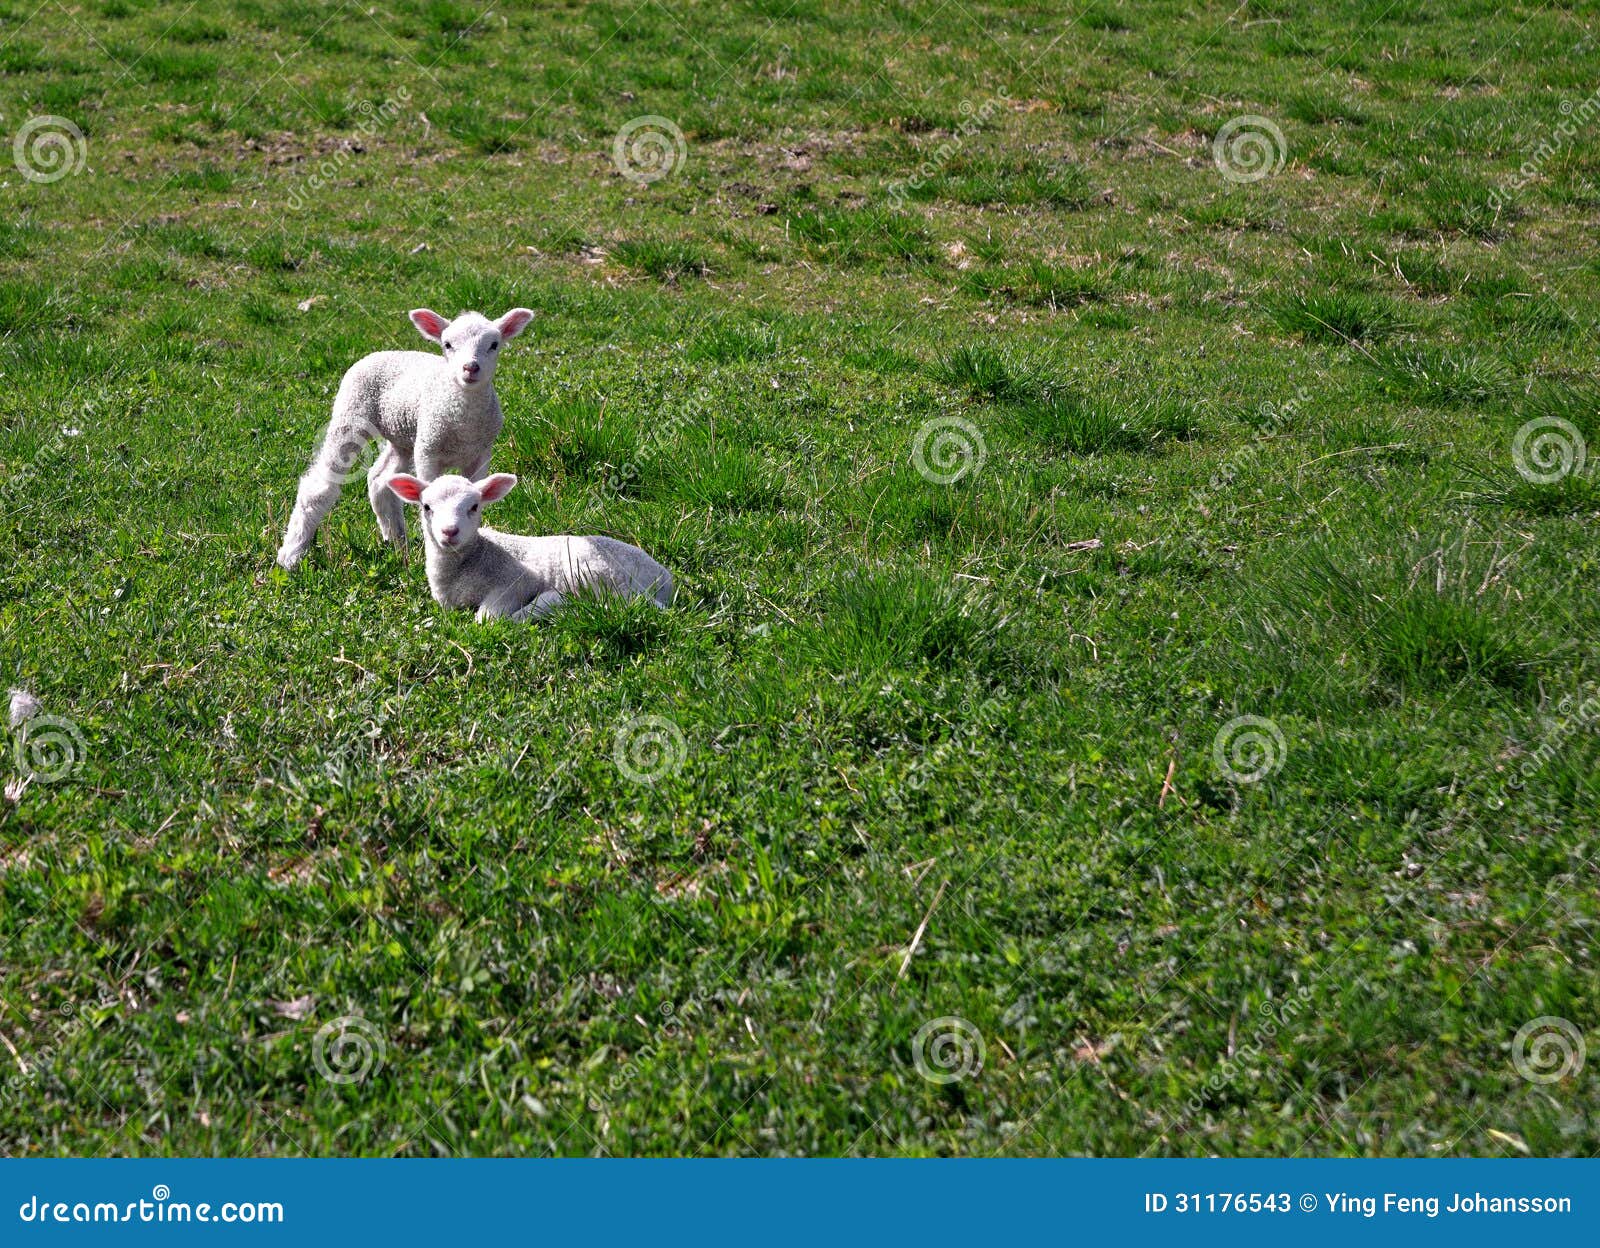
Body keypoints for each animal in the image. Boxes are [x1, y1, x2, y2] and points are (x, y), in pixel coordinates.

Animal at [275, 306, 535, 570]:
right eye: (447, 344)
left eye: (494, 344)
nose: (470, 368)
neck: (463, 422)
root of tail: (381, 352)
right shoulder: (428, 451)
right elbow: (427, 496)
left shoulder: (480, 453)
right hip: (352, 413)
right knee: (318, 486)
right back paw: (292, 554)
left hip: (402, 437)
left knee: (380, 479)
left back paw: (396, 542)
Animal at [386, 472, 674, 621]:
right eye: (426, 507)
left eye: (474, 506)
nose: (449, 532)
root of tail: (665, 580)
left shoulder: (517, 580)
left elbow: (485, 620)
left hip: (594, 567)